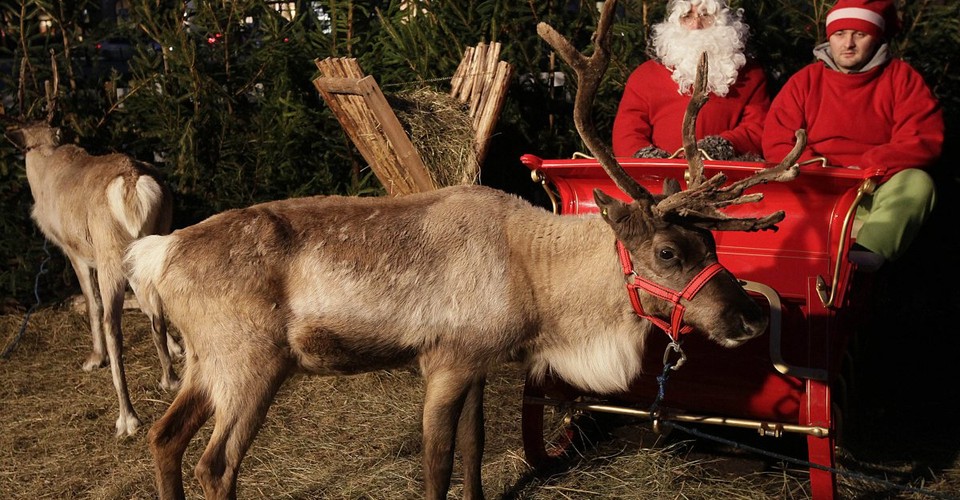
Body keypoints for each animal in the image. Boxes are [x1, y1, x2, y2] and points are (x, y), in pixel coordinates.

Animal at [4, 55, 181, 437]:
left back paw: (127, 418)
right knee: (159, 306)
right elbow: (148, 308)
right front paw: (175, 352)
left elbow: (91, 303)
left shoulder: (76, 252)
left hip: (111, 256)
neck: (46, 160)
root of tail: (131, 184)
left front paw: (92, 358)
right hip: (153, 241)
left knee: (116, 327)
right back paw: (170, 380)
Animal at [123, 1, 805, 498]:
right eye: (667, 252)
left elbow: (474, 457)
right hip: (248, 361)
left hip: (205, 360)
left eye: (711, 240)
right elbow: (438, 468)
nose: (750, 315)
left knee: (164, 438)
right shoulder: (445, 359)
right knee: (215, 464)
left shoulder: (480, 362)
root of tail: (157, 256)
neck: (535, 281)